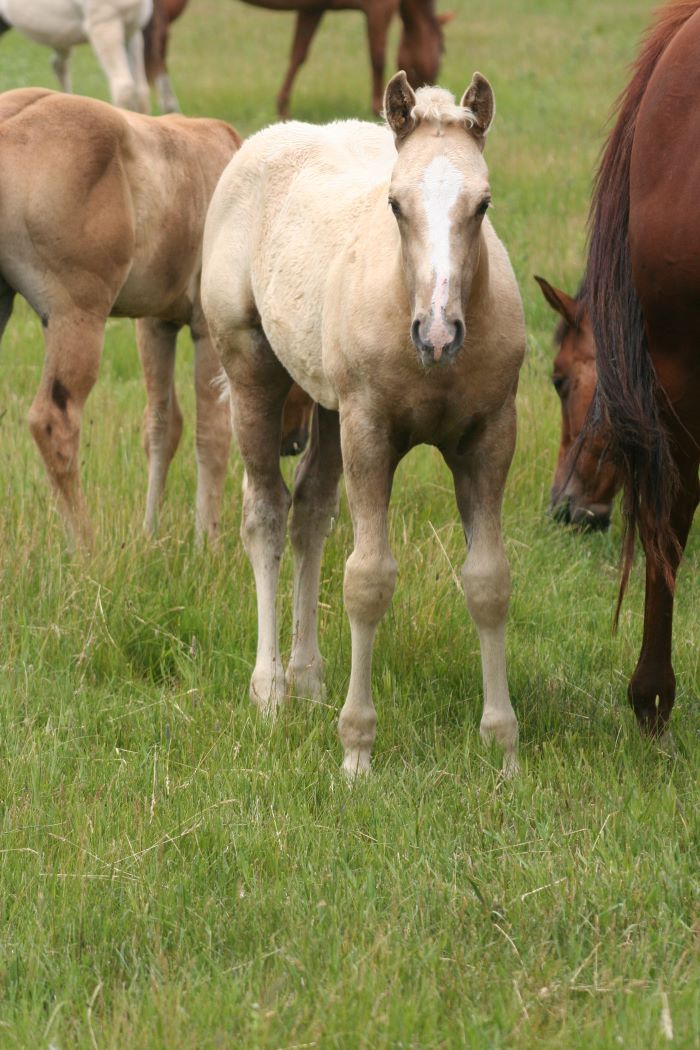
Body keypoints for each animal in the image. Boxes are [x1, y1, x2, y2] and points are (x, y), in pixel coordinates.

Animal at [0, 87, 243, 548]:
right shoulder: (207, 331)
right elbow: (213, 434)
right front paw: (208, 542)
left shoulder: (155, 325)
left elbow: (162, 427)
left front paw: (151, 533)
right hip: (77, 320)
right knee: (54, 423)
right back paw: (85, 546)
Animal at [202, 72, 526, 776]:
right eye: (396, 205)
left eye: (483, 204)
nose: (437, 333)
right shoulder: (370, 431)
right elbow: (368, 580)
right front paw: (357, 749)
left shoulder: (490, 436)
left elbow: (488, 581)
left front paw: (503, 746)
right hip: (252, 371)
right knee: (266, 515)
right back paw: (270, 689)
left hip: (327, 408)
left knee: (310, 514)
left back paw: (308, 679)